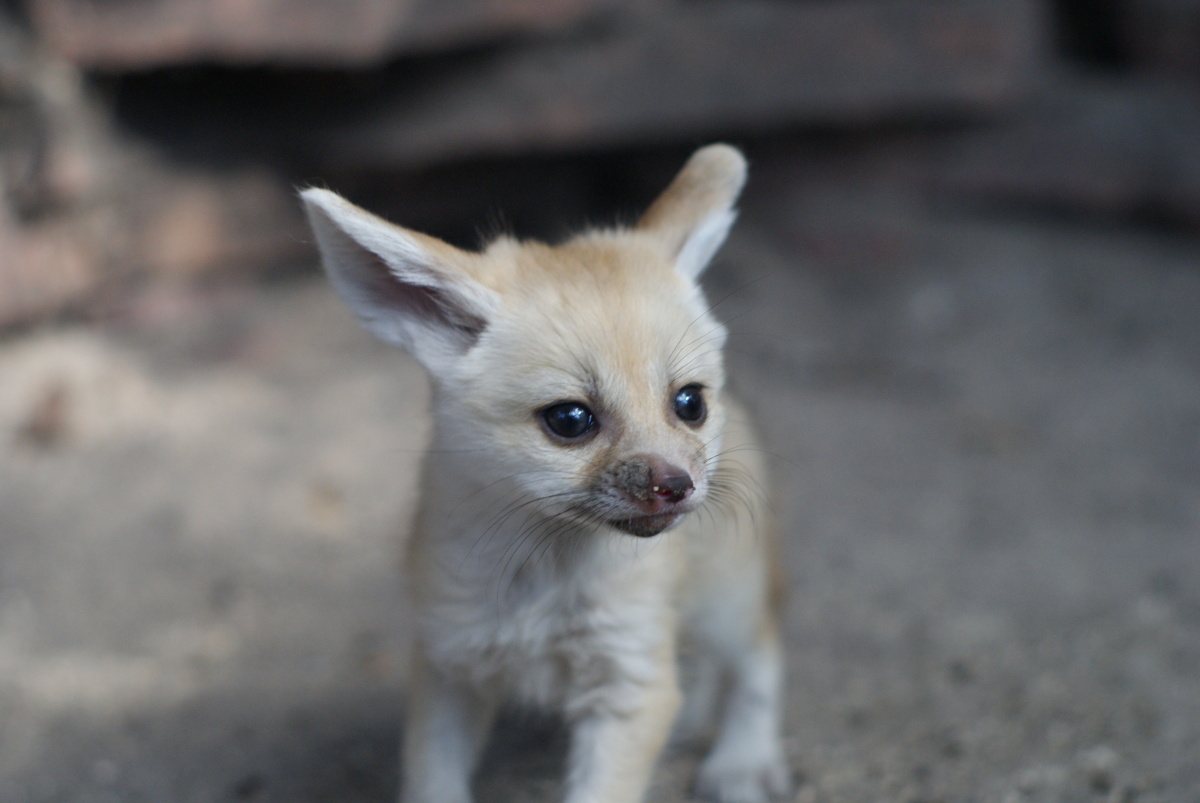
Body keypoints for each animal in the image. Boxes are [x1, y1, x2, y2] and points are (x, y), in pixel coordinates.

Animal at [300, 144, 790, 803]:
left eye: (689, 404)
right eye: (570, 419)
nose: (676, 486)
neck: (541, 588)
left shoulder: (631, 682)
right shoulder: (447, 665)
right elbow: (432, 780)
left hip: (727, 601)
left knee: (759, 654)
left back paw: (744, 759)